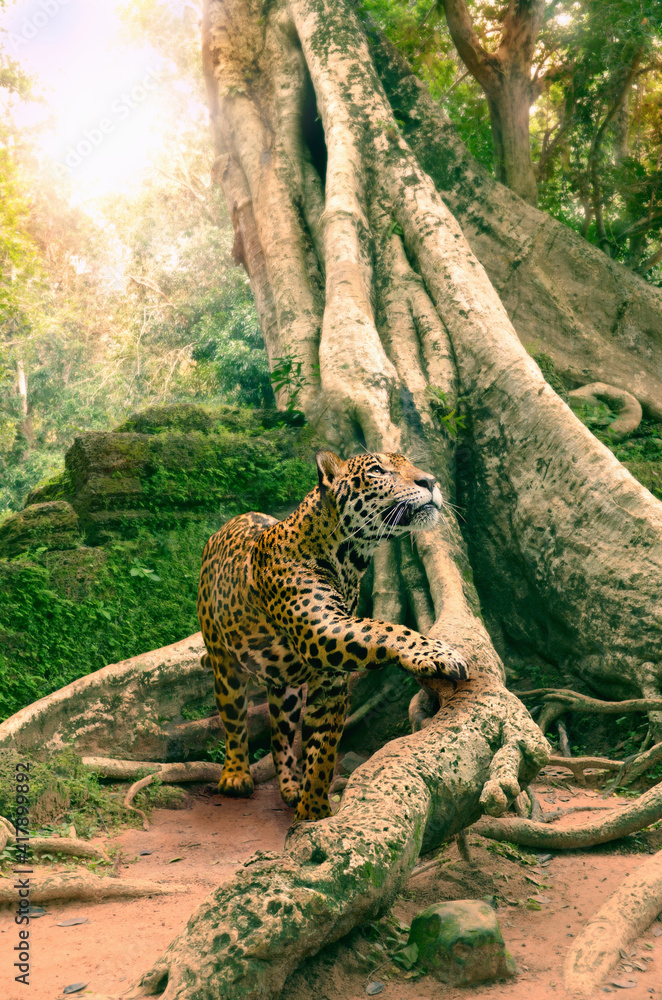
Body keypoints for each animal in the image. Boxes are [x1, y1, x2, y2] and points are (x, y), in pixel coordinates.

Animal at [197, 449, 468, 823]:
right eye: (378, 470)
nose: (430, 481)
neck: (350, 560)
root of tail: (225, 525)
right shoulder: (323, 628)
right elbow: (387, 627)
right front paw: (440, 654)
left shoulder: (330, 682)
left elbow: (323, 753)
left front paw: (314, 810)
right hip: (225, 666)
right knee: (234, 722)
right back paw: (235, 776)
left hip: (286, 689)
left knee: (280, 735)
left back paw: (290, 786)